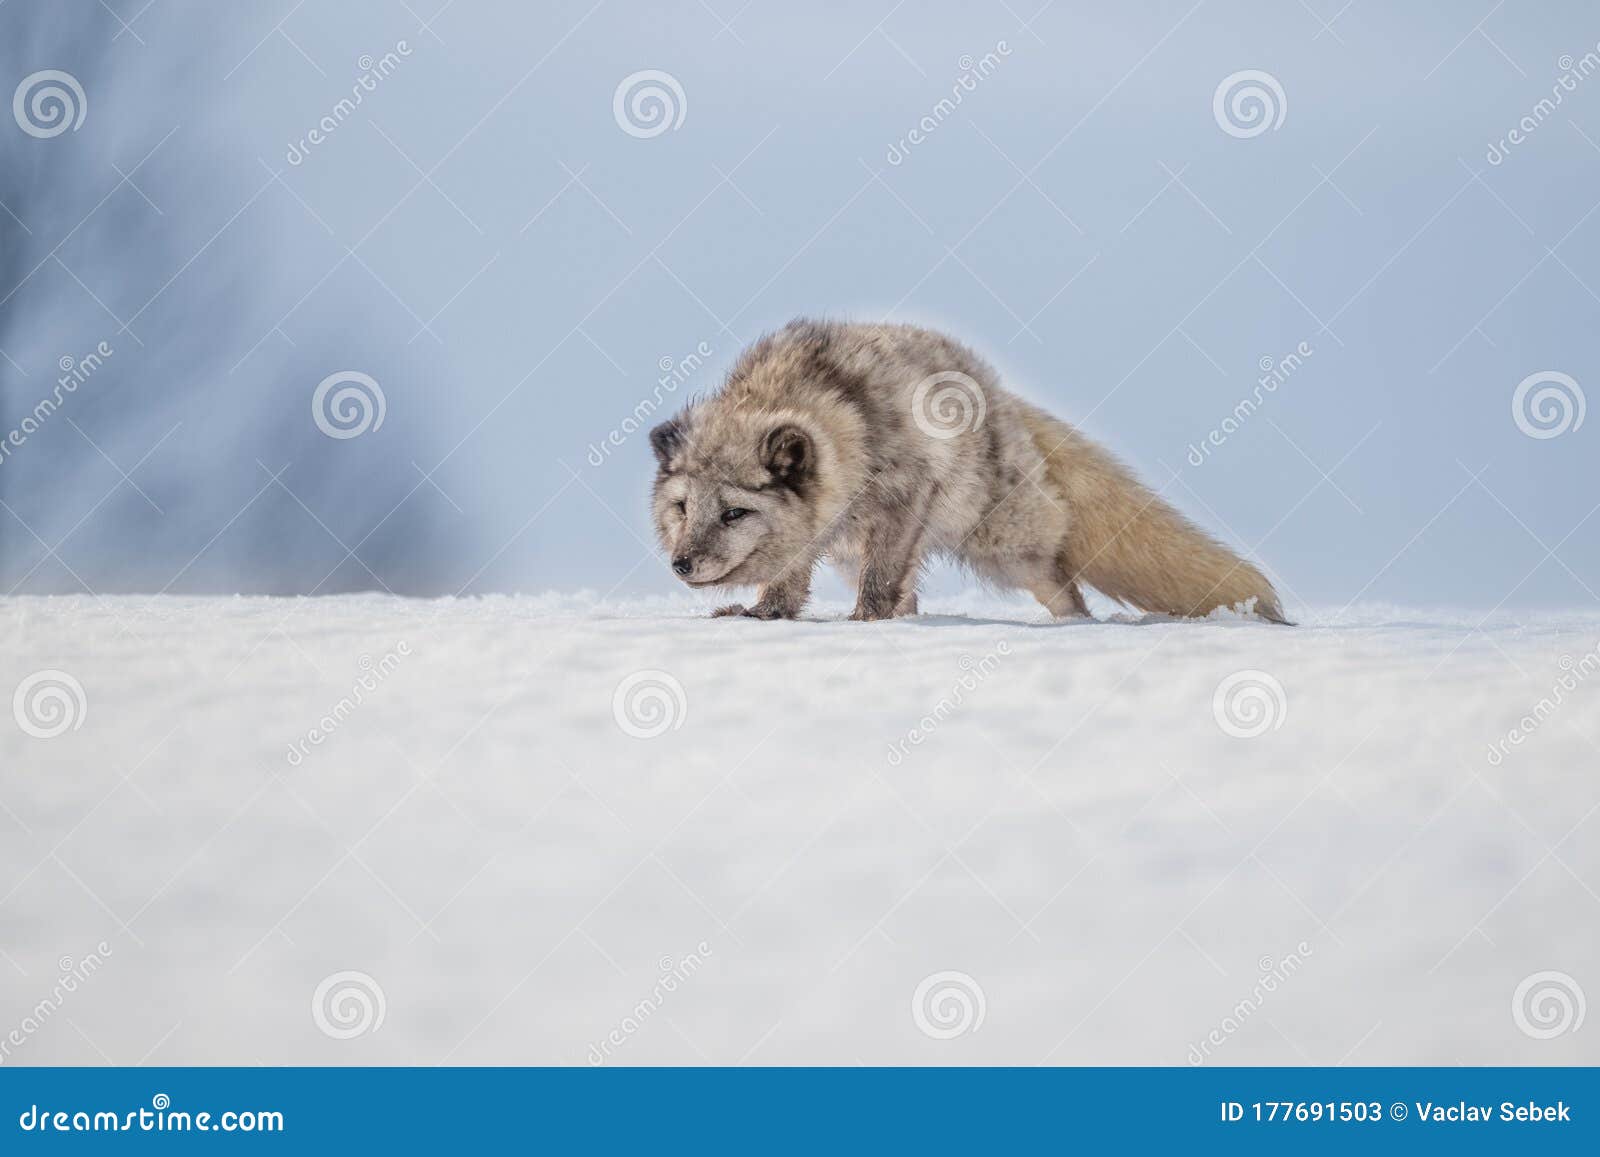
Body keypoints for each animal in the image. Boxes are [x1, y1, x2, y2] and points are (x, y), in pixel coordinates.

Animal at [649, 319, 1287, 624]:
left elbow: (881, 582)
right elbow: (788, 582)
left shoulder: (905, 495)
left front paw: (866, 623)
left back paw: (1076, 628)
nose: (681, 564)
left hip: (1003, 542)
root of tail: (1002, 396)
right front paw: (765, 615)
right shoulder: (817, 531)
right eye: (683, 507)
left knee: (1063, 585)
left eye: (735, 512)